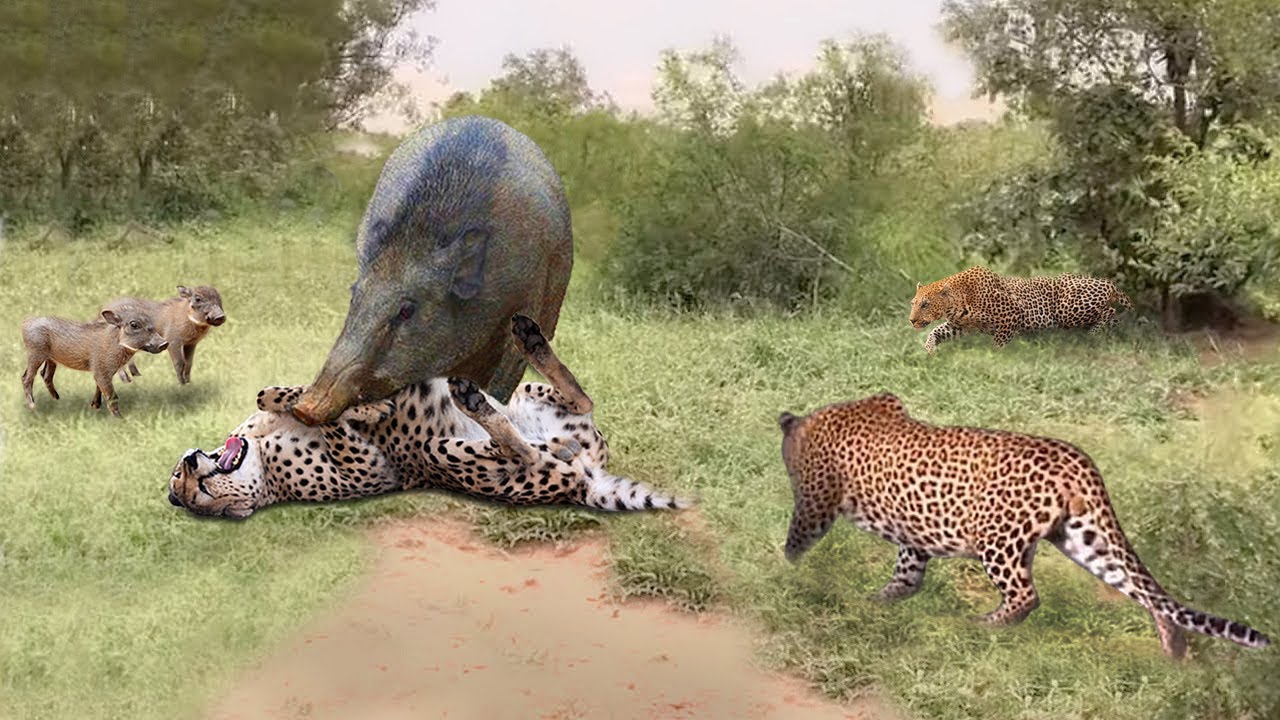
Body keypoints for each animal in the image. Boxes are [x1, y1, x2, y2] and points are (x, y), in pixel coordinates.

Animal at [168, 315, 688, 519]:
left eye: (180, 481)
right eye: (198, 495)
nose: (190, 462)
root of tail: (588, 479)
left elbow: (276, 395)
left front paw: (361, 404)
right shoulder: (373, 471)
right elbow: (330, 421)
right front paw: (367, 408)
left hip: (531, 395)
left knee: (581, 401)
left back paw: (528, 339)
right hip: (446, 455)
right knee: (524, 452)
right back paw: (485, 410)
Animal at [777, 392, 1271, 658]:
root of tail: (1077, 460)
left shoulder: (815, 502)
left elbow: (795, 543)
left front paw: (784, 578)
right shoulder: (910, 538)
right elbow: (907, 576)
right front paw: (878, 602)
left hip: (997, 538)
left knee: (1025, 595)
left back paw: (983, 626)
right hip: (1083, 537)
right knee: (1145, 590)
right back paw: (1174, 650)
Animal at [909, 266, 1134, 354]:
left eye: (925, 304)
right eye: (914, 303)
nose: (911, 320)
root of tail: (1107, 282)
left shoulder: (1013, 315)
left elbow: (997, 344)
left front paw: (994, 356)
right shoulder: (961, 326)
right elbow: (935, 331)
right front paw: (931, 350)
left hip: (1068, 310)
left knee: (1110, 312)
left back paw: (1093, 333)